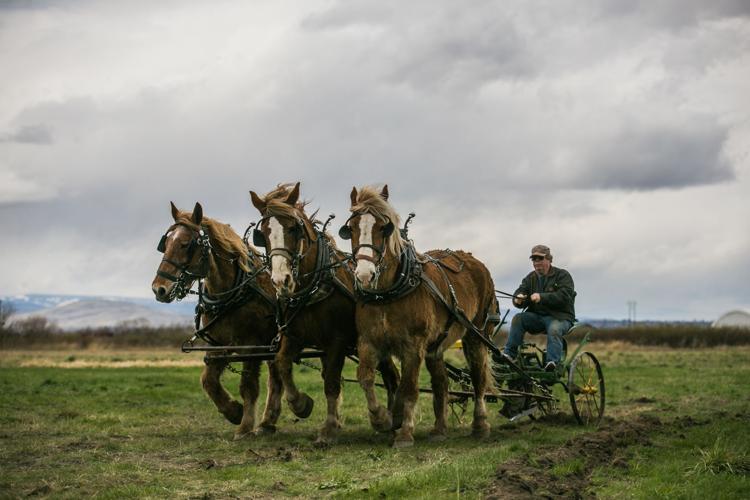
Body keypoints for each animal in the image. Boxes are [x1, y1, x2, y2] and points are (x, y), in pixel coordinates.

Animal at [151, 201, 283, 440]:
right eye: (165, 244)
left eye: (185, 244)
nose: (159, 289)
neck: (232, 291)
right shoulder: (217, 344)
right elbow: (208, 381)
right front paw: (233, 411)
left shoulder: (252, 345)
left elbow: (248, 386)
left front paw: (244, 427)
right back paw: (269, 421)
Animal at [249, 182, 400, 445]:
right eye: (263, 235)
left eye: (293, 228)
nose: (280, 280)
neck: (312, 289)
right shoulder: (292, 336)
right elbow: (281, 363)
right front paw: (300, 404)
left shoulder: (337, 342)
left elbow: (331, 382)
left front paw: (328, 428)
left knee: (391, 377)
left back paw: (387, 419)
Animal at [339, 185, 497, 447]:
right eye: (350, 228)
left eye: (383, 228)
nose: (364, 274)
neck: (387, 294)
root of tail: (474, 260)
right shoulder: (369, 342)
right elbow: (366, 379)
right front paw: (382, 419)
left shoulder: (413, 346)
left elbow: (409, 387)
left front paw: (404, 432)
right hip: (436, 345)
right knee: (441, 382)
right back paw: (439, 429)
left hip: (476, 335)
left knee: (478, 378)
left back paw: (481, 425)